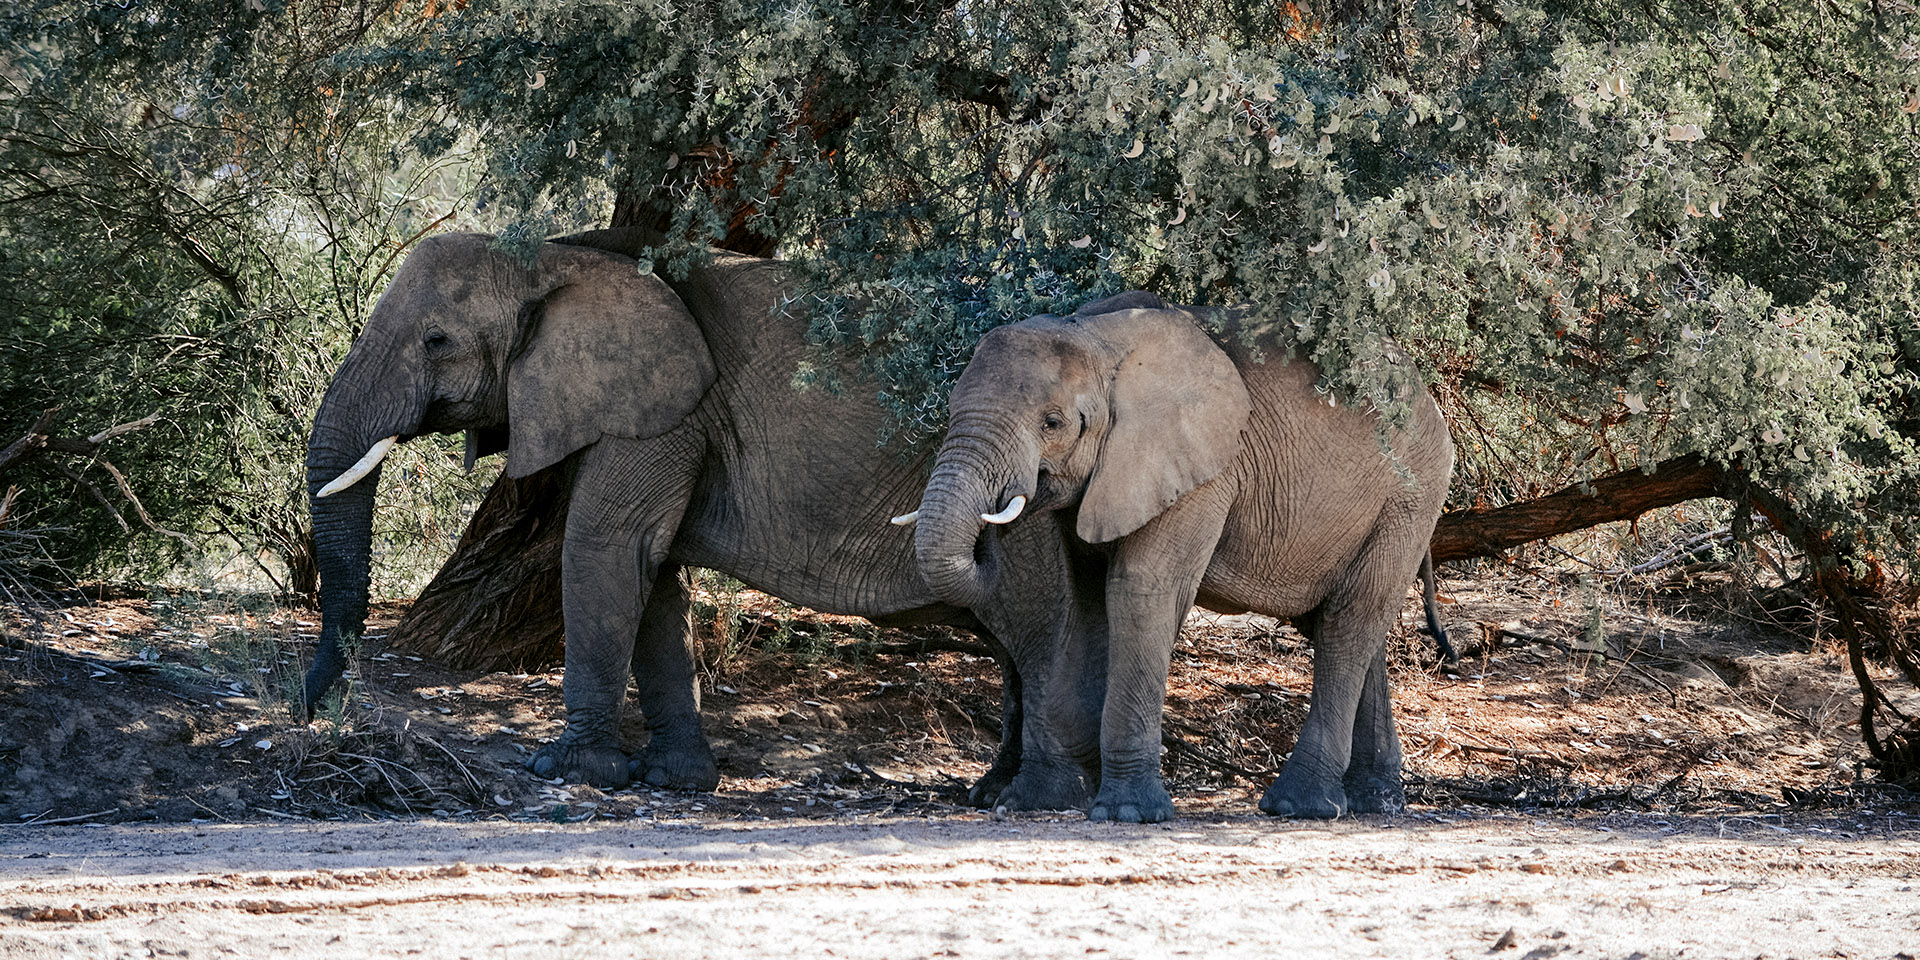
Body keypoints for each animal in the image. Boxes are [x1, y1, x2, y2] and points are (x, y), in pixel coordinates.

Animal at [302, 229, 1090, 805]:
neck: (557, 255)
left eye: (436, 340)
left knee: (1036, 626)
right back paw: (993, 793)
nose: (313, 713)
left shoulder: (661, 414)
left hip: (1029, 497)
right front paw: (674, 779)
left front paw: (566, 770)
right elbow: (653, 574)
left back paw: (1039, 798)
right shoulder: (655, 414)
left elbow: (605, 550)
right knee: (1014, 645)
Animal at [910, 292, 1455, 822]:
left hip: (1410, 496)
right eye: (950, 409)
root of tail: (1425, 393)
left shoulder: (1203, 473)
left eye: (1052, 422)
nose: (989, 529)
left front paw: (1127, 813)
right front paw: (1037, 801)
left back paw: (1299, 806)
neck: (1097, 338)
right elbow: (1082, 601)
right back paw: (1374, 802)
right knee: (1350, 625)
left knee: (1350, 621)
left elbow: (1140, 590)